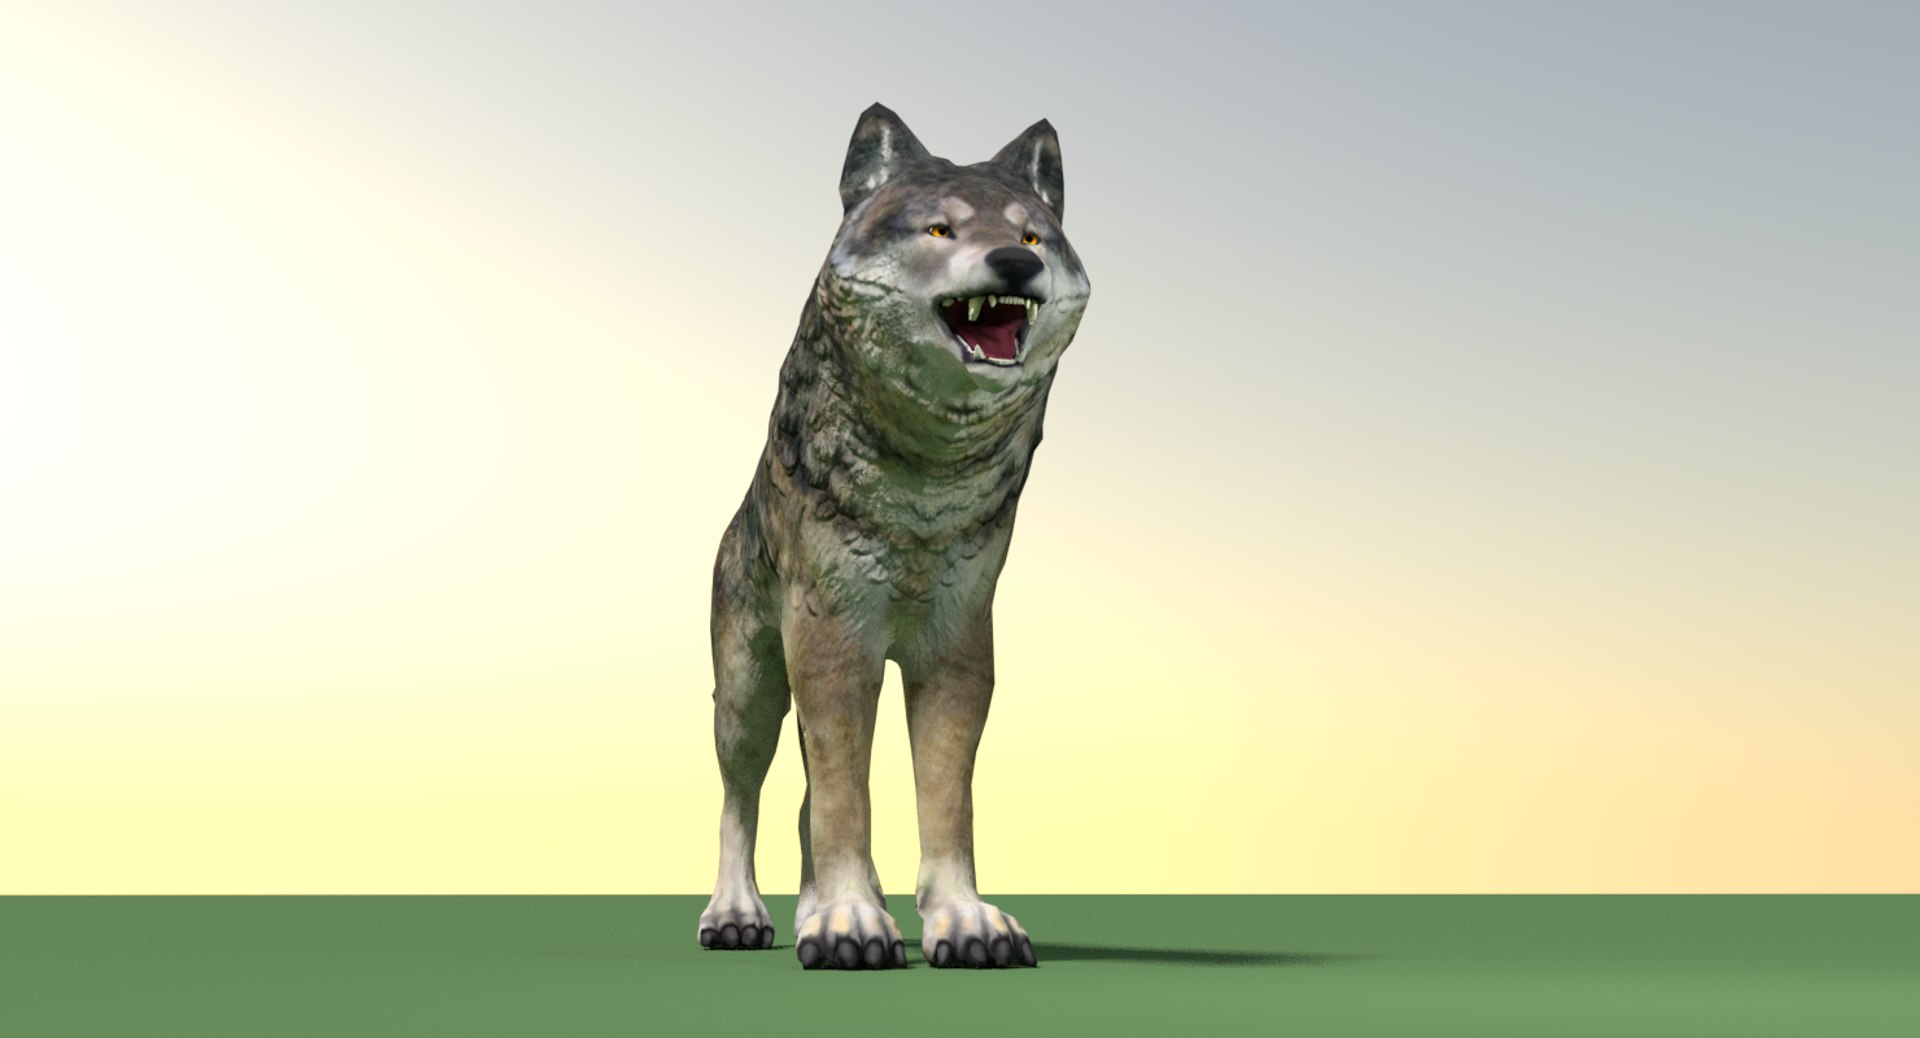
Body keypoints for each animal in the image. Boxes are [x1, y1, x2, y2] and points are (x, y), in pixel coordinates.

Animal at [694, 104, 1090, 970]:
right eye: (940, 228)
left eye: (1033, 235)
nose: (1015, 261)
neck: (926, 481)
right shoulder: (834, 643)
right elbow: (844, 802)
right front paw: (847, 923)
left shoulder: (957, 649)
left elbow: (942, 803)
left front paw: (959, 920)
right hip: (748, 698)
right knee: (743, 799)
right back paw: (739, 915)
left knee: (804, 806)